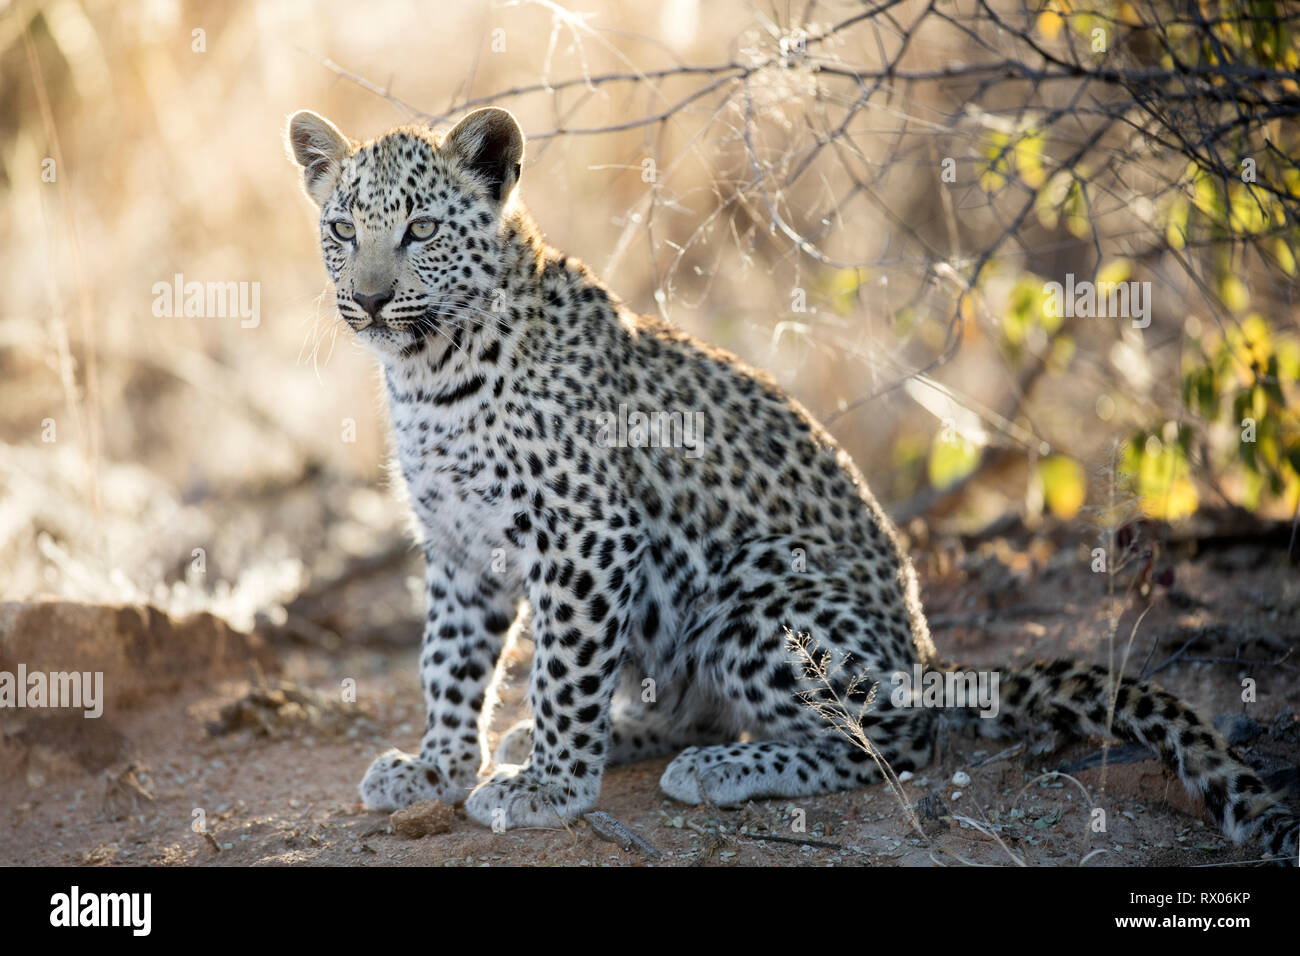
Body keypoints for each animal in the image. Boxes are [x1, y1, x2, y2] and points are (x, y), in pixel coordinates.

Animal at [287, 105, 1297, 863]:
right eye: (341, 231)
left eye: (420, 230)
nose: (368, 299)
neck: (429, 374)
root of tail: (929, 661)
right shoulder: (459, 545)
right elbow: (448, 664)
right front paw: (437, 770)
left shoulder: (587, 535)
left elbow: (566, 668)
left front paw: (552, 789)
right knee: (699, 707)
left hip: (758, 587)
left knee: (892, 743)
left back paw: (719, 770)